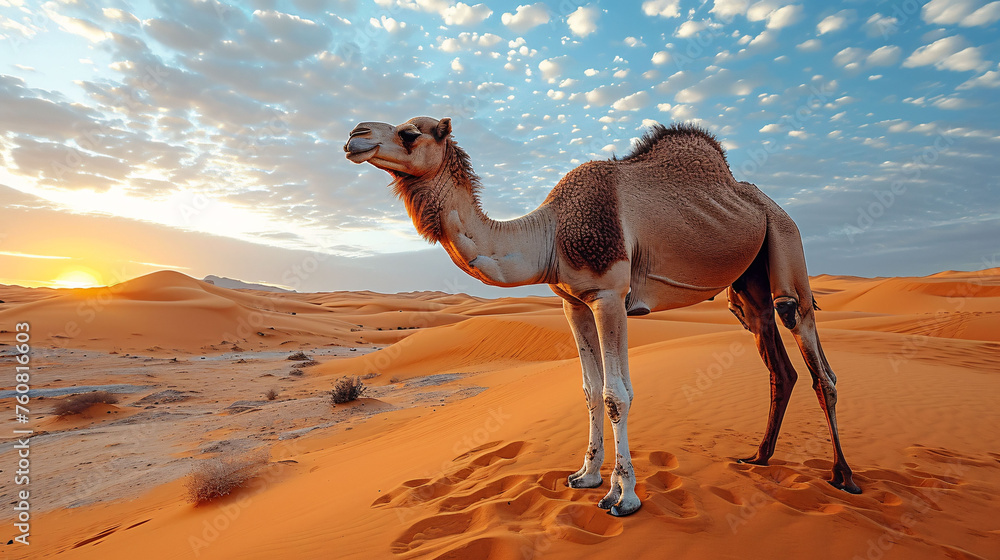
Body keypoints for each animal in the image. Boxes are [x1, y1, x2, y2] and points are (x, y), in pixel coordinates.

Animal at [344, 116, 861, 516]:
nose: (355, 134)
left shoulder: (611, 295)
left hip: (786, 238)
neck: (550, 231)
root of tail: (765, 201)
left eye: (411, 133)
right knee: (778, 361)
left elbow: (617, 396)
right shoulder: (574, 301)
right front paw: (586, 475)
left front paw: (623, 496)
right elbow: (591, 391)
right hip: (747, 285)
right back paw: (758, 458)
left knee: (814, 352)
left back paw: (845, 476)